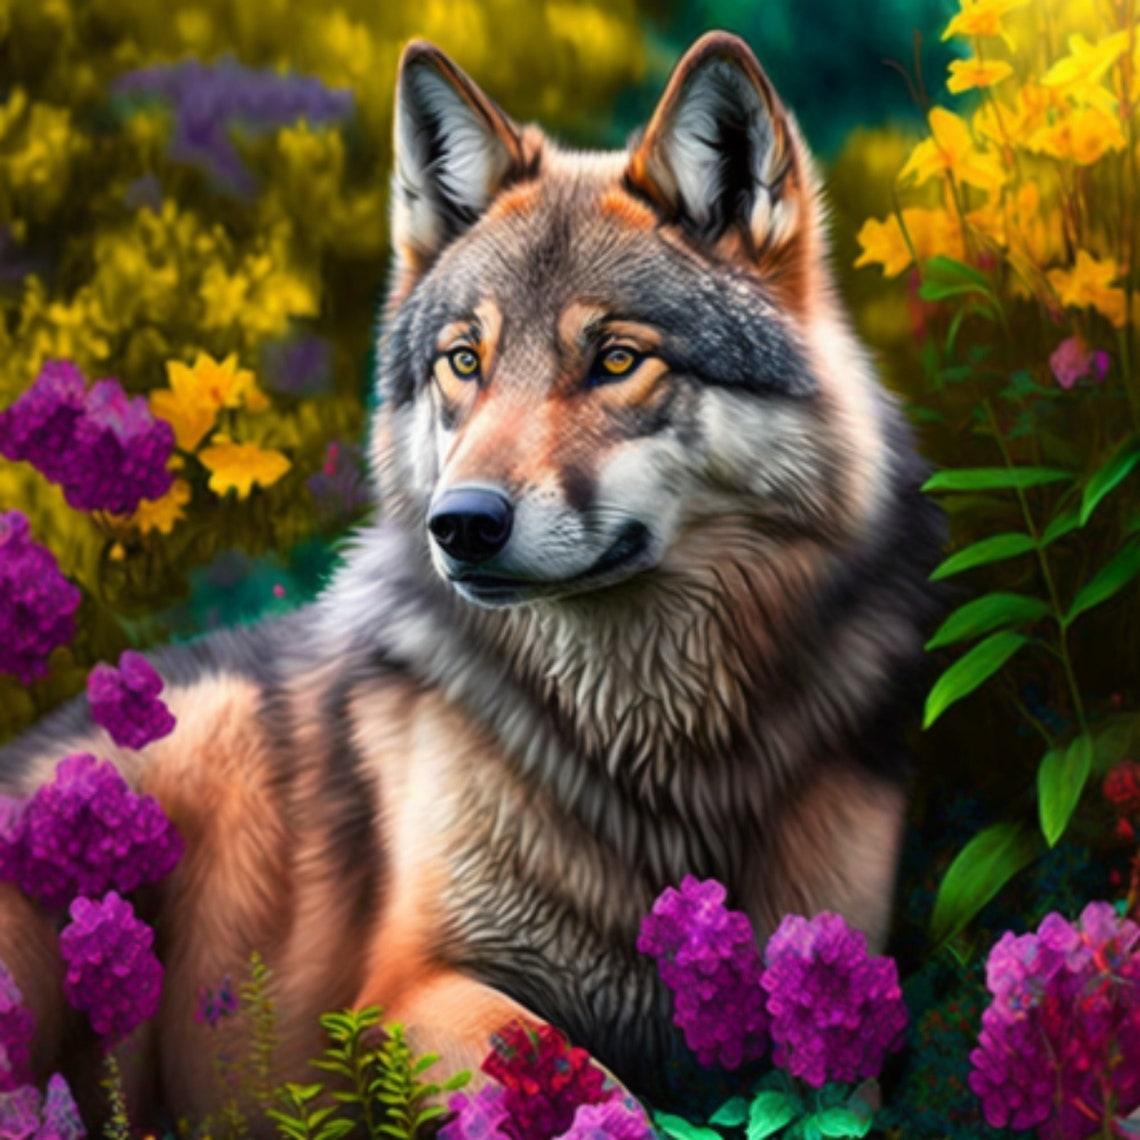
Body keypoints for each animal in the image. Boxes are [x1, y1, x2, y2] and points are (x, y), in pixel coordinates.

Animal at [0, 30, 941, 1124]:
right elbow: (593, 1090)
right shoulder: (410, 985)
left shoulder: (836, 992)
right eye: (464, 361)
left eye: (616, 358)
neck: (654, 769)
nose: (462, 525)